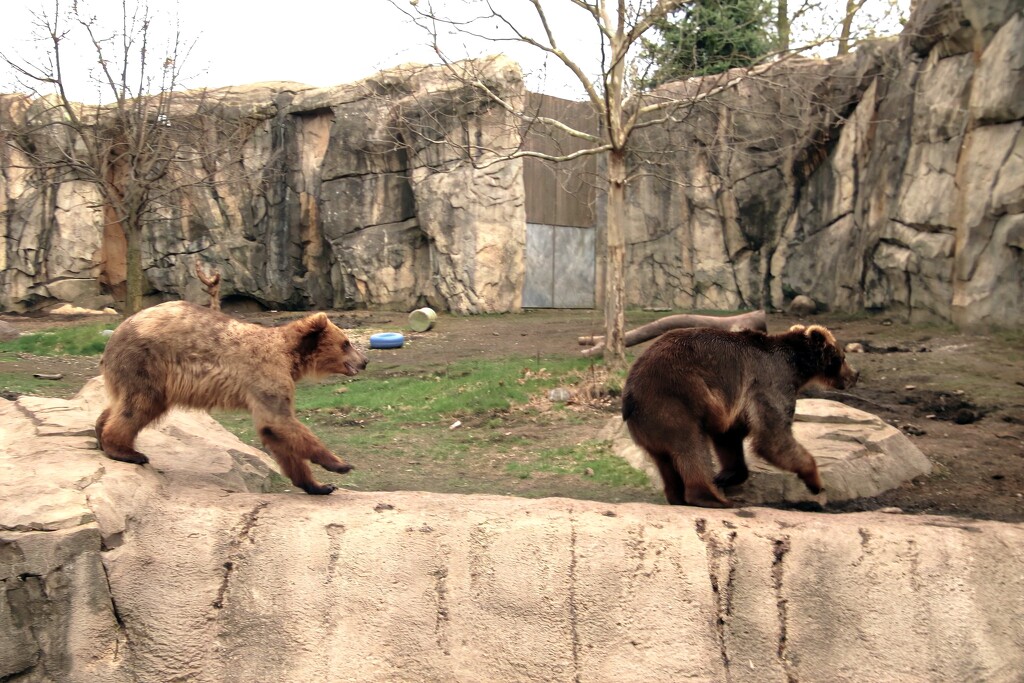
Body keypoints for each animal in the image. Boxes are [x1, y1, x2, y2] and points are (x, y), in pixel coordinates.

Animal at [94, 301, 369, 495]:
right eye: (346, 343)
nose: (364, 361)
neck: (291, 358)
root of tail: (116, 333)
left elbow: (276, 434)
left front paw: (319, 486)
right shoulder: (266, 377)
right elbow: (281, 423)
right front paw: (340, 464)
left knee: (124, 404)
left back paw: (100, 433)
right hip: (147, 361)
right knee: (139, 404)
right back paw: (127, 451)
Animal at [621, 324, 859, 508]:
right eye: (842, 357)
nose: (855, 375)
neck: (796, 366)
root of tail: (628, 395)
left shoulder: (736, 404)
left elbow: (730, 437)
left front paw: (727, 475)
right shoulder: (771, 382)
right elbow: (773, 437)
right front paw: (816, 483)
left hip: (649, 424)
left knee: (666, 460)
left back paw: (679, 496)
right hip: (674, 399)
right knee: (692, 447)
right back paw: (715, 499)